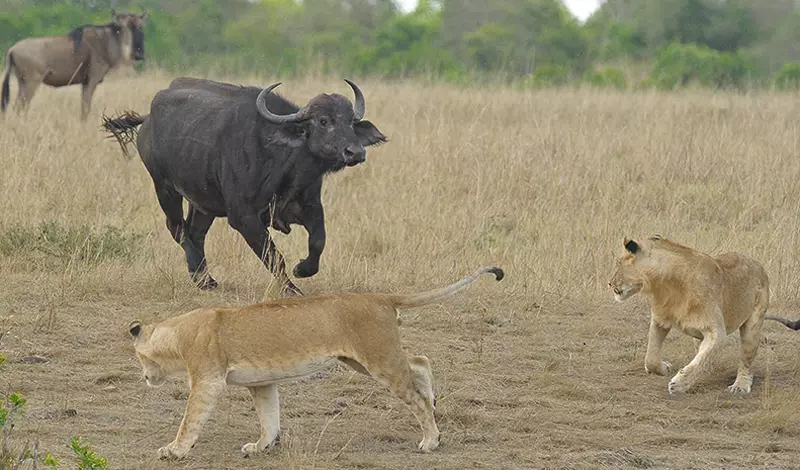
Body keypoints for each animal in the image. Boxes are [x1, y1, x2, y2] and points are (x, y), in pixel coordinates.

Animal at [1, 9, 147, 120]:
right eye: (125, 27)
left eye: (140, 27)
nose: (138, 54)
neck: (105, 41)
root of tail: (12, 50)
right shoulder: (91, 81)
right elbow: (86, 108)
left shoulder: (85, 83)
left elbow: (84, 108)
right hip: (31, 82)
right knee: (21, 106)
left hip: (22, 82)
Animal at [102, 78, 384, 296]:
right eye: (324, 121)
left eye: (350, 121)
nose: (355, 152)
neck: (283, 162)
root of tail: (148, 119)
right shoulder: (243, 217)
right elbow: (274, 256)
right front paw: (291, 288)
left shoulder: (310, 206)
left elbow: (318, 241)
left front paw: (303, 269)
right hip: (164, 187)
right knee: (177, 228)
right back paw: (200, 276)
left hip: (203, 201)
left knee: (195, 232)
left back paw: (206, 279)